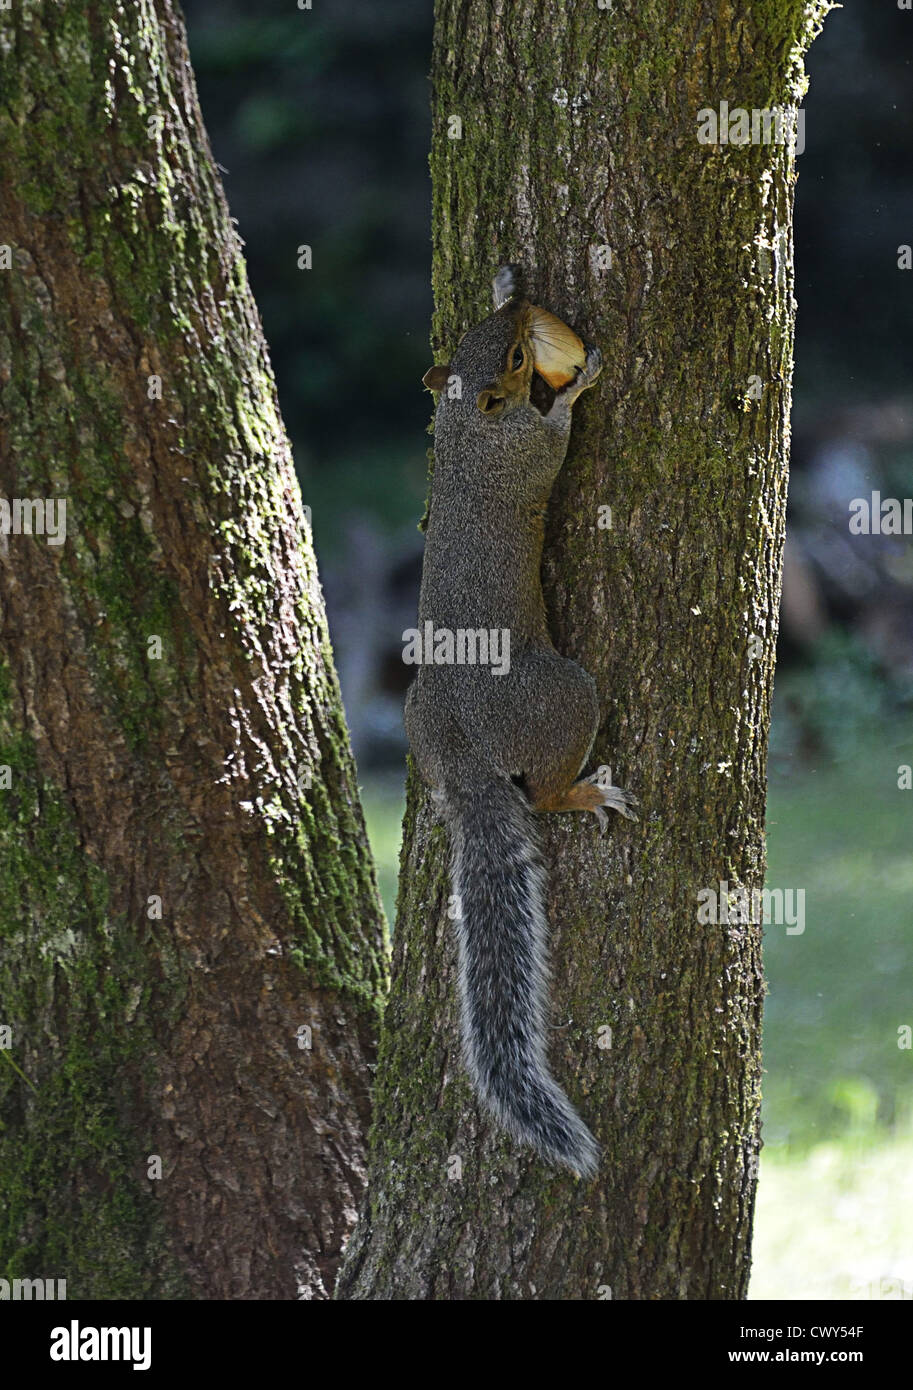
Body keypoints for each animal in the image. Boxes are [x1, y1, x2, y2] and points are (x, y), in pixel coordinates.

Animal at [404, 265, 637, 1178]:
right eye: (508, 355)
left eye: (490, 331)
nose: (524, 305)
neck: (472, 427)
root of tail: (462, 756)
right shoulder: (532, 453)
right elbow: (561, 436)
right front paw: (578, 384)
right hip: (564, 695)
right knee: (539, 794)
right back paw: (585, 794)